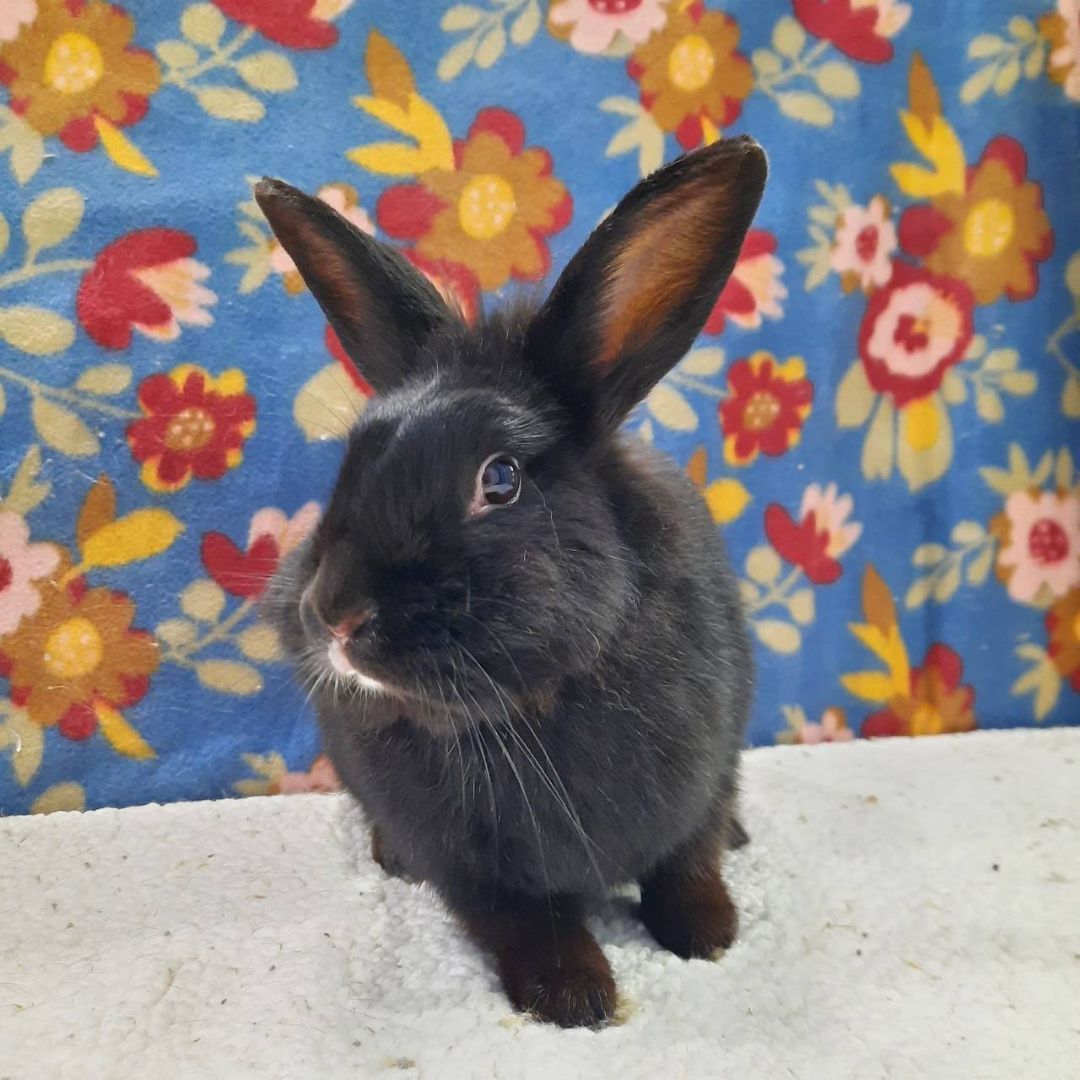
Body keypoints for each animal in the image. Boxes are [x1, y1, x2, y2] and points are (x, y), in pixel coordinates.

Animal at [256, 135, 765, 1028]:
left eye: (499, 481)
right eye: (350, 464)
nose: (334, 615)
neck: (524, 715)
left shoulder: (708, 774)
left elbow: (687, 862)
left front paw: (709, 934)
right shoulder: (469, 865)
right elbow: (525, 919)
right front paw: (576, 996)